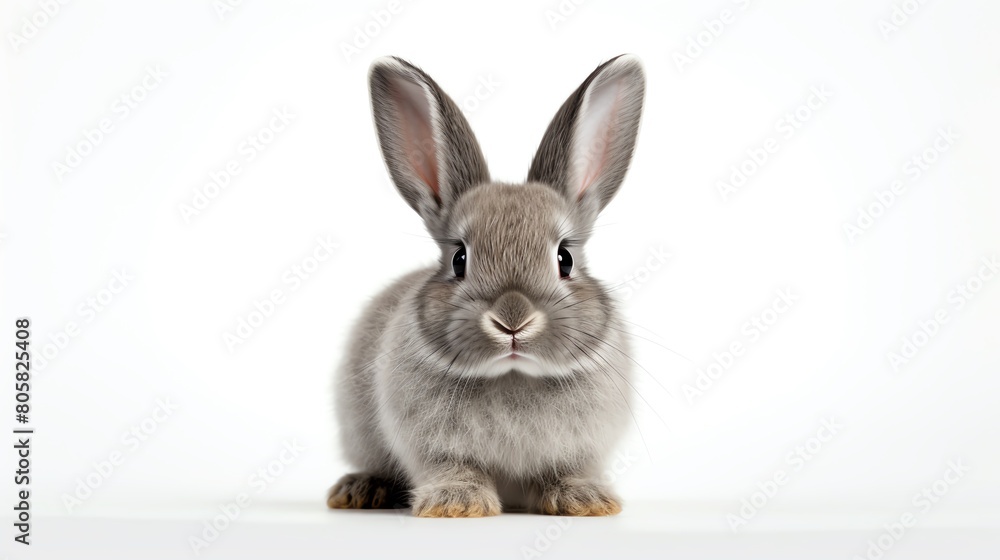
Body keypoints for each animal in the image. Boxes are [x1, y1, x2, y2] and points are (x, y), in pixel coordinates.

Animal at [328, 54, 646, 517]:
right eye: (459, 259)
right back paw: (359, 490)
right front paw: (456, 504)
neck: (512, 376)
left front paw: (586, 501)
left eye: (565, 259)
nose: (513, 321)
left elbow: (566, 470)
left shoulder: (580, 448)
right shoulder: (433, 447)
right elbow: (454, 467)